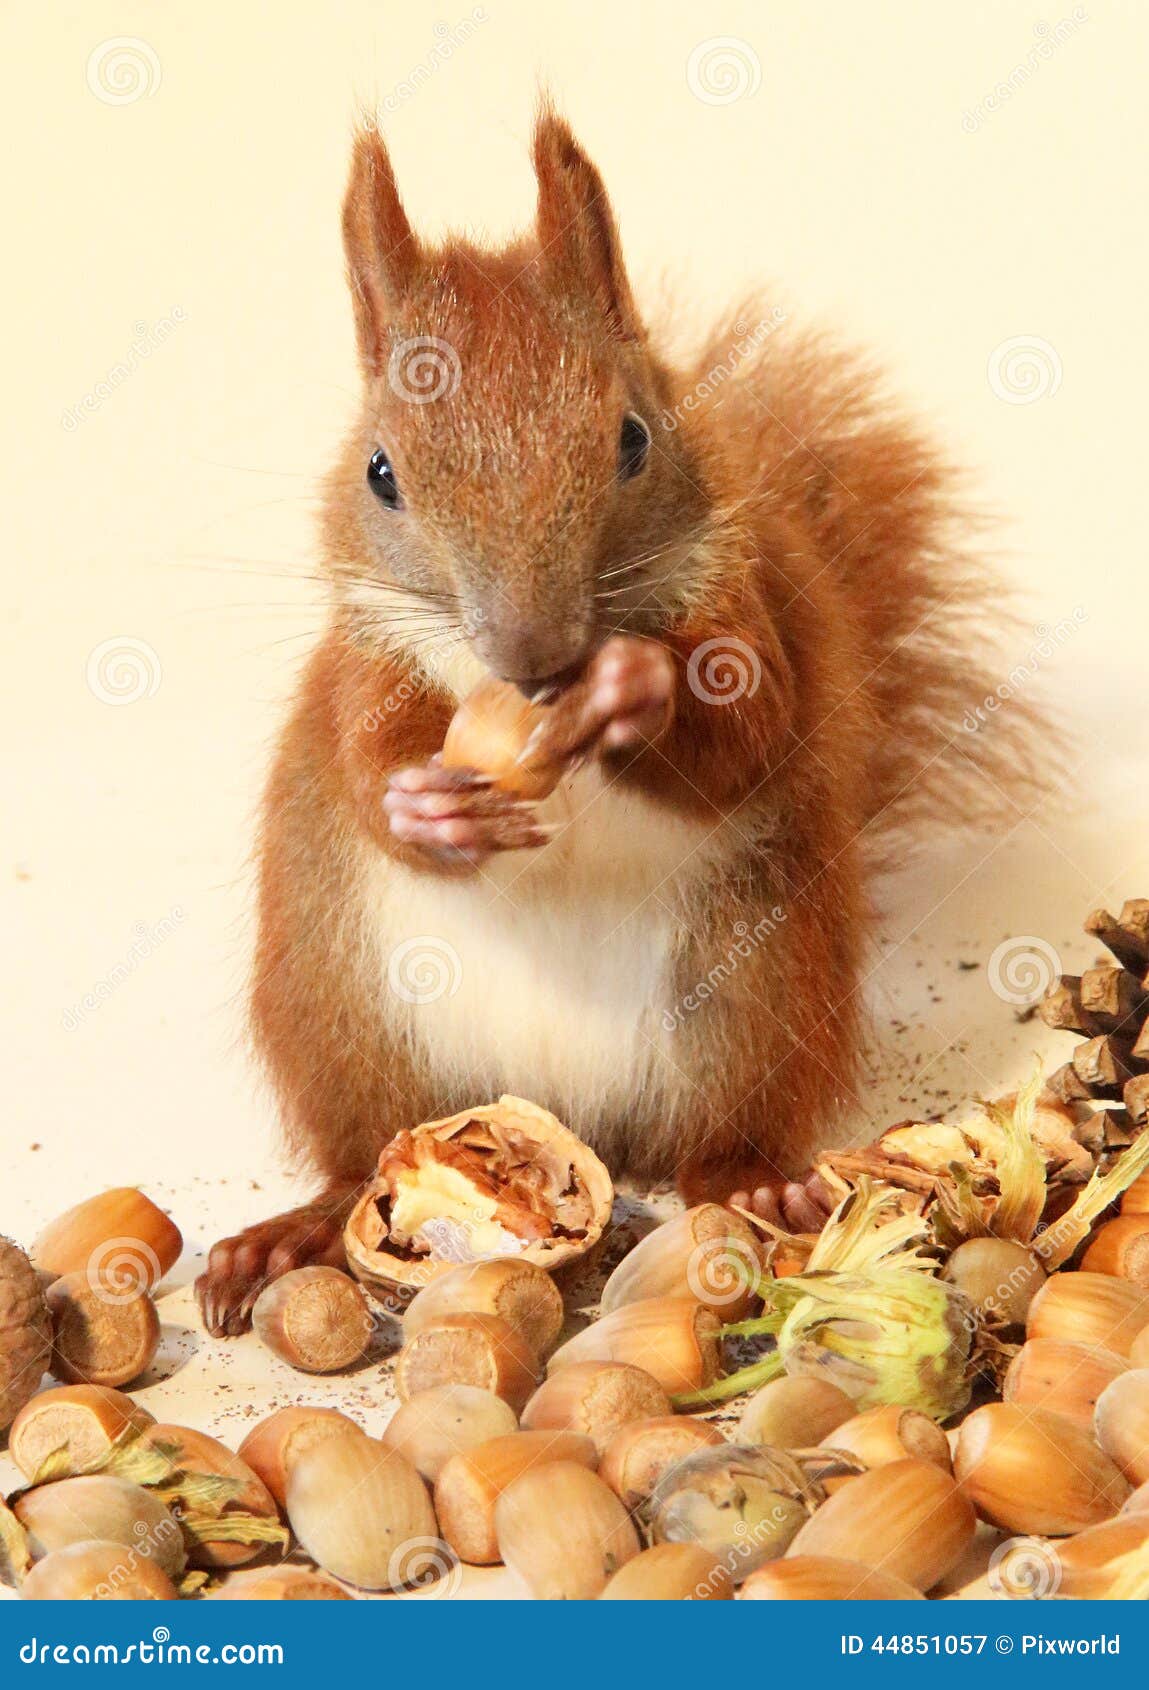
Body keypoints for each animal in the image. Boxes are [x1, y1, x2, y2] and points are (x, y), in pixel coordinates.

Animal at [196, 108, 1037, 1336]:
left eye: (634, 438)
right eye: (381, 471)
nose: (535, 652)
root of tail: (561, 1109)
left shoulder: (745, 617)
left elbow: (748, 733)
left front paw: (643, 690)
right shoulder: (364, 665)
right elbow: (362, 763)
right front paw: (425, 807)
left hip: (755, 988)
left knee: (720, 1137)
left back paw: (759, 1188)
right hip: (340, 1013)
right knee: (359, 1158)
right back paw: (292, 1231)